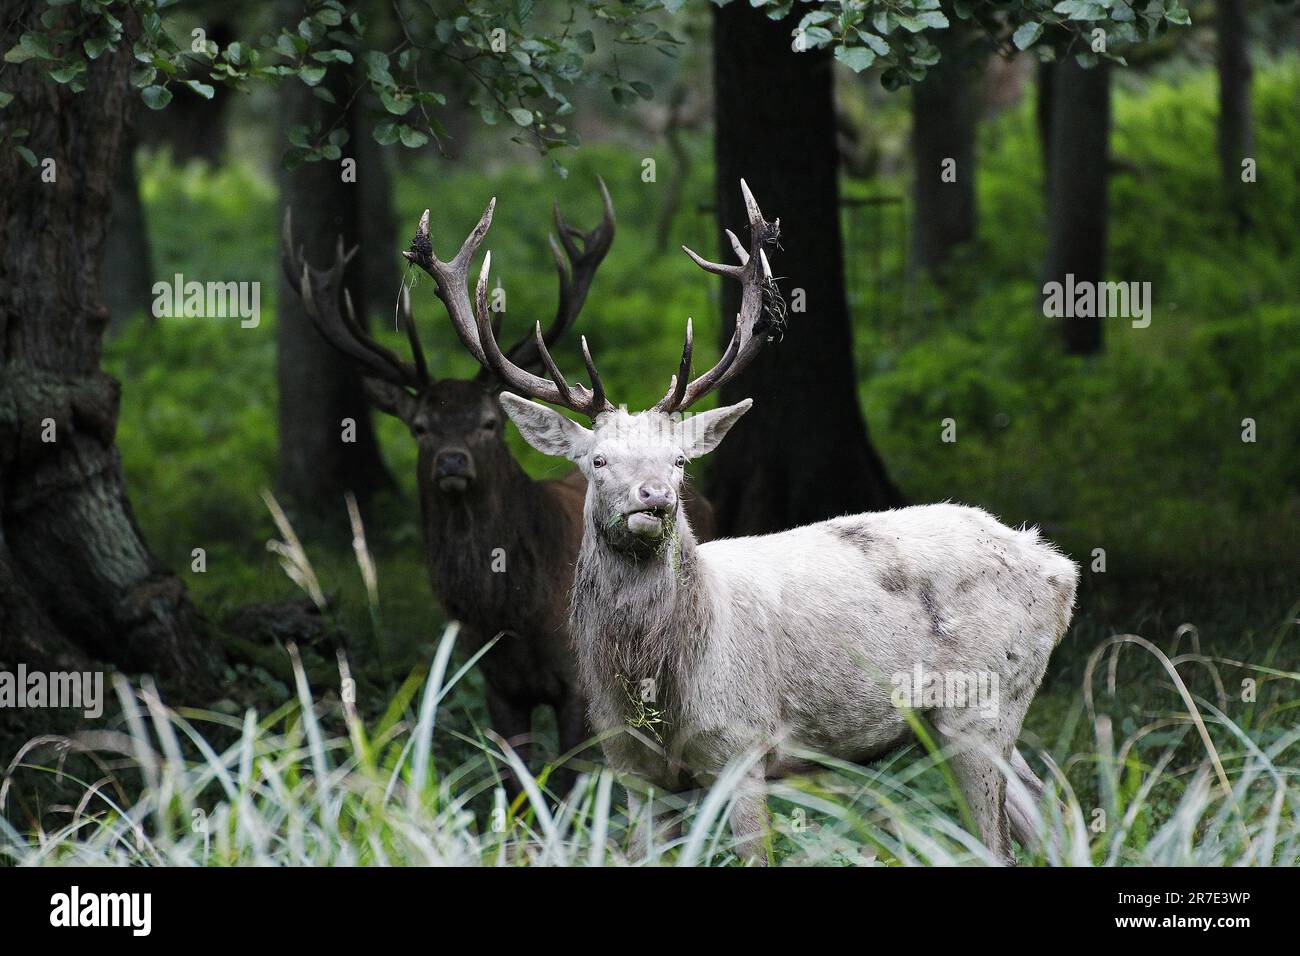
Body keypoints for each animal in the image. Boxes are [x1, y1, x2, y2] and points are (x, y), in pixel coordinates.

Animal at [282, 182, 714, 796]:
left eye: (490, 423)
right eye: (420, 427)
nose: (452, 461)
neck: (512, 615)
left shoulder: (578, 685)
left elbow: (567, 782)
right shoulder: (494, 684)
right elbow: (517, 784)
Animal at [450, 180, 1079, 864]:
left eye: (679, 461)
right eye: (598, 459)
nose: (655, 499)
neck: (654, 688)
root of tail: (1061, 570)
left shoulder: (742, 744)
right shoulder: (627, 766)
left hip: (983, 705)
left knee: (1000, 840)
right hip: (962, 721)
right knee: (1047, 812)